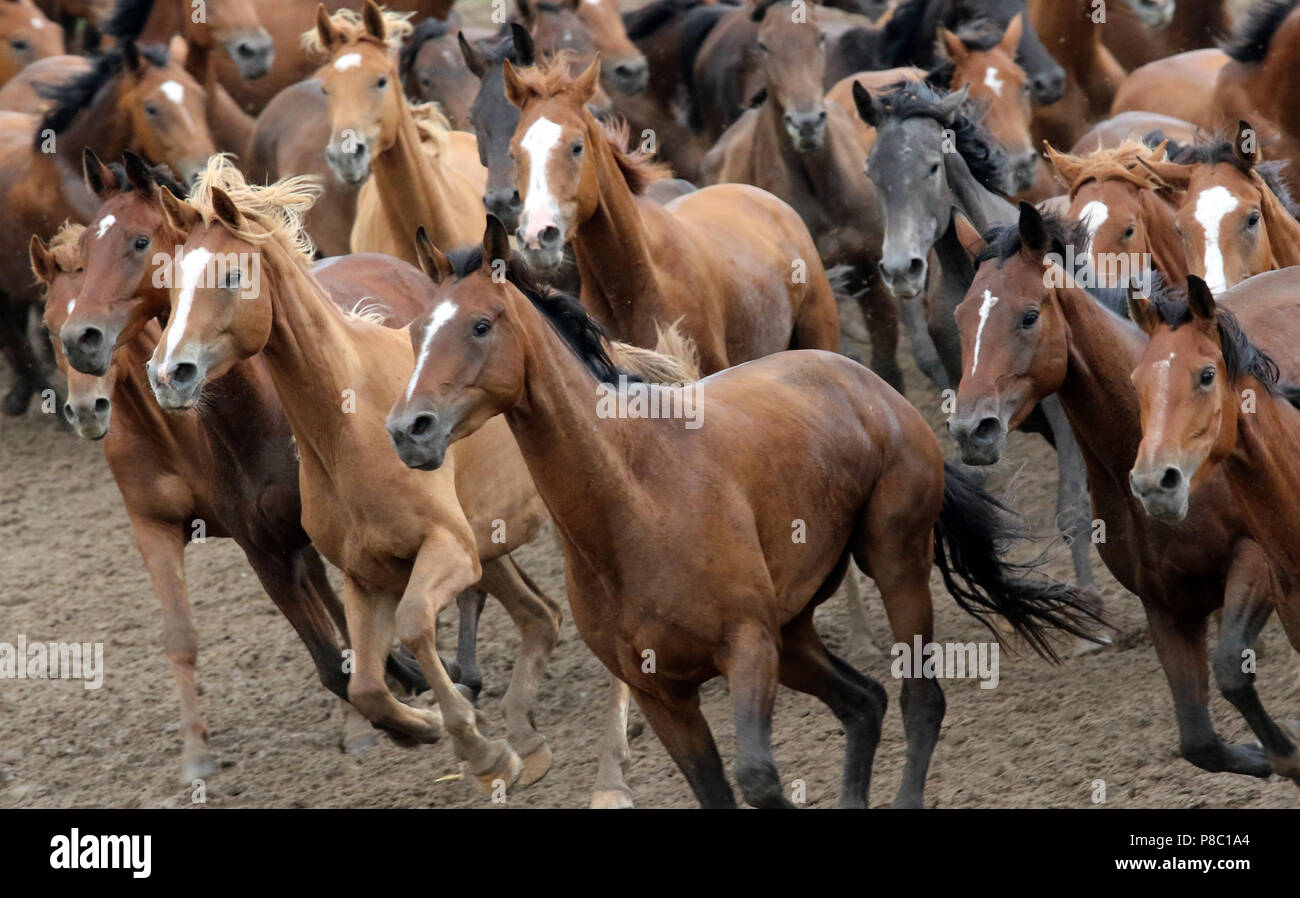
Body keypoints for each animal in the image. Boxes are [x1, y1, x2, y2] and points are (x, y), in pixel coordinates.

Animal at [384, 213, 1102, 808]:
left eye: (480, 325)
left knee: (918, 700)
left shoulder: (747, 649)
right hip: (796, 630)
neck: (636, 503)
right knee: (864, 702)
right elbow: (716, 790)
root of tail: (875, 389)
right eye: (416, 332)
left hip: (894, 563)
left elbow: (759, 780)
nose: (408, 428)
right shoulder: (661, 691)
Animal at [699, 1, 901, 390]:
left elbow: (888, 364)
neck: (824, 192)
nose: (806, 123)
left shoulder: (872, 276)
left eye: (819, 37)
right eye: (764, 44)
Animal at [949, 202, 1300, 783]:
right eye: (959, 317)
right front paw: (1262, 753)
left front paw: (1283, 750)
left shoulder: (1253, 558)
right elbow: (1199, 741)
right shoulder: (1164, 604)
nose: (971, 430)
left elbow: (1230, 667)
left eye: (1028, 316)